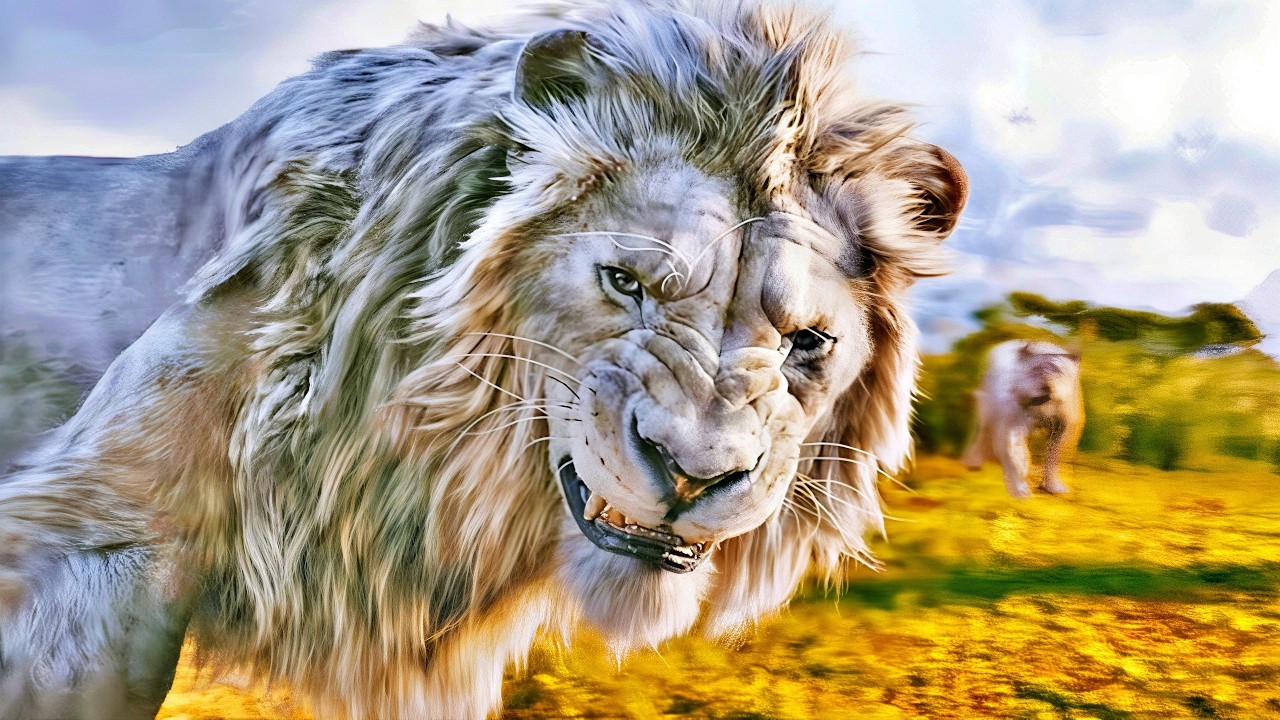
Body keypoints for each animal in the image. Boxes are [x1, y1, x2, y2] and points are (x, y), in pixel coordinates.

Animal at [962, 340, 1084, 497]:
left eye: (1057, 370)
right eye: (1036, 370)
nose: (1045, 388)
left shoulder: (1064, 422)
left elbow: (1054, 453)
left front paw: (1052, 487)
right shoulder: (1011, 418)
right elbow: (1015, 451)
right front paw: (1020, 489)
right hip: (987, 409)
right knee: (983, 432)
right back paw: (974, 463)